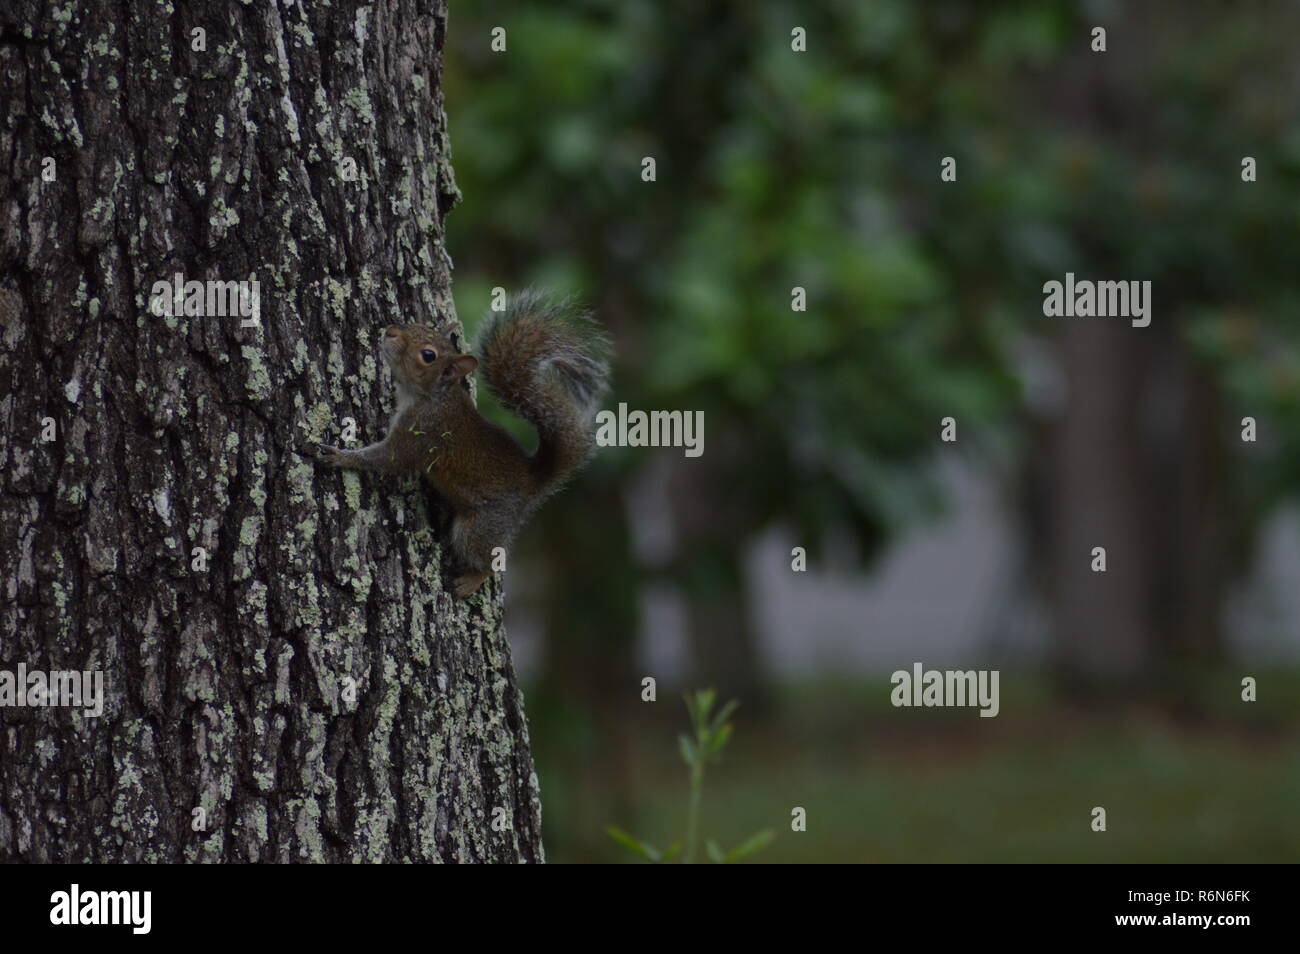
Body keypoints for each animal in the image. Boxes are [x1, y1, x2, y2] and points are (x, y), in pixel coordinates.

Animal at [315, 290, 611, 597]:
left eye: (428, 355)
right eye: (419, 324)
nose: (391, 331)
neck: (434, 395)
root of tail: (533, 479)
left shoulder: (423, 432)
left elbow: (389, 459)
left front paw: (341, 457)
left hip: (481, 526)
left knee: (491, 560)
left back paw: (470, 581)